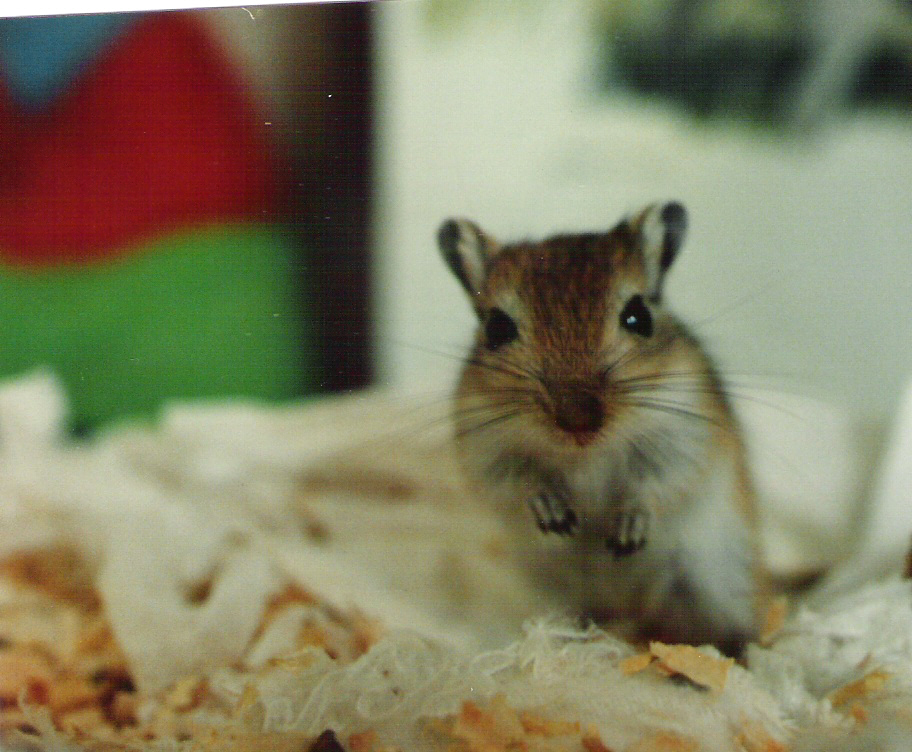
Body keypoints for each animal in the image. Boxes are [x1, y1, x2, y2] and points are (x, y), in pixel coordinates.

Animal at [437, 202, 765, 654]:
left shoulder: (679, 440)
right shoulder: (488, 449)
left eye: (639, 317)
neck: (584, 454)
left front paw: (623, 538)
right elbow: (522, 482)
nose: (578, 420)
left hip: (710, 581)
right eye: (496, 328)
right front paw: (558, 520)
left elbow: (650, 488)